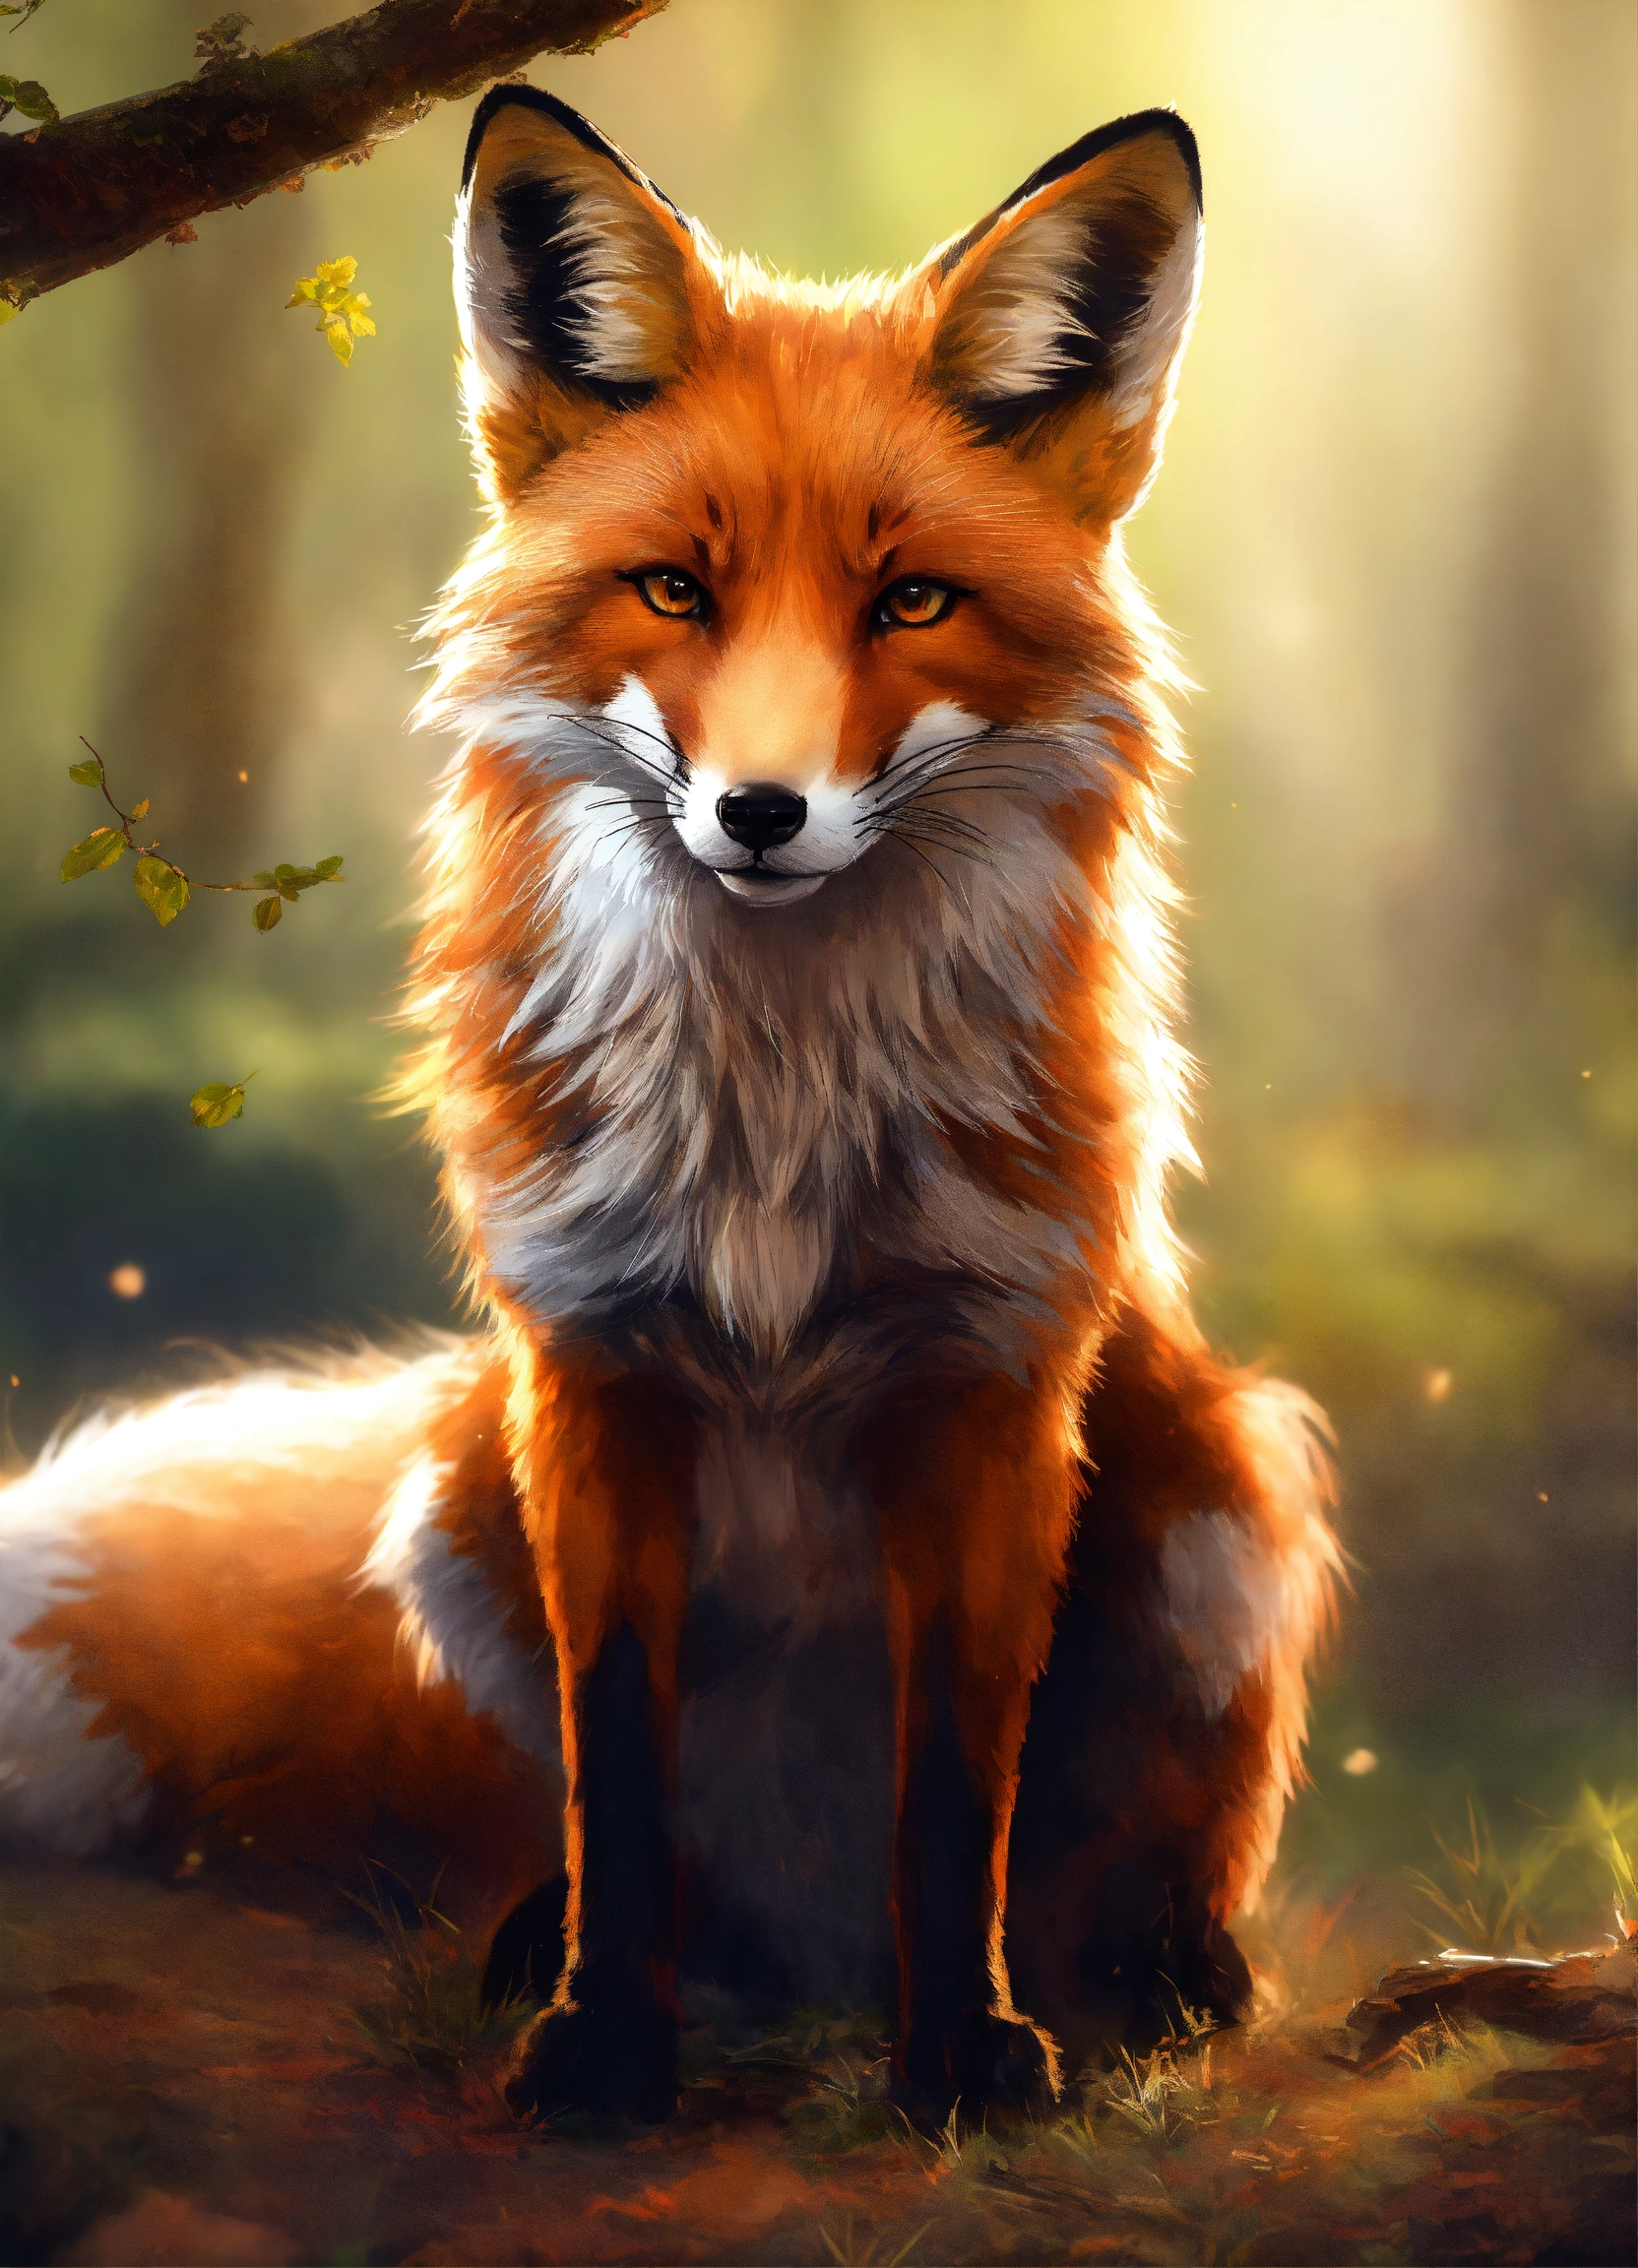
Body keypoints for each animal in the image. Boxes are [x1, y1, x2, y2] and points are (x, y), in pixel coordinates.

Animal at [0, 91, 1340, 2128]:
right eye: (673, 588)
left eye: (909, 600)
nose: (759, 812)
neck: (773, 1125)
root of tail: (809, 1960)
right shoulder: (596, 1383)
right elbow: (615, 1776)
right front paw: (601, 2041)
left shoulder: (988, 1390)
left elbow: (956, 1800)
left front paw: (964, 2055)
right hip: (456, 1485)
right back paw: (574, 1954)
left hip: (1226, 1491)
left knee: (1138, 1850)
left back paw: (1153, 1974)